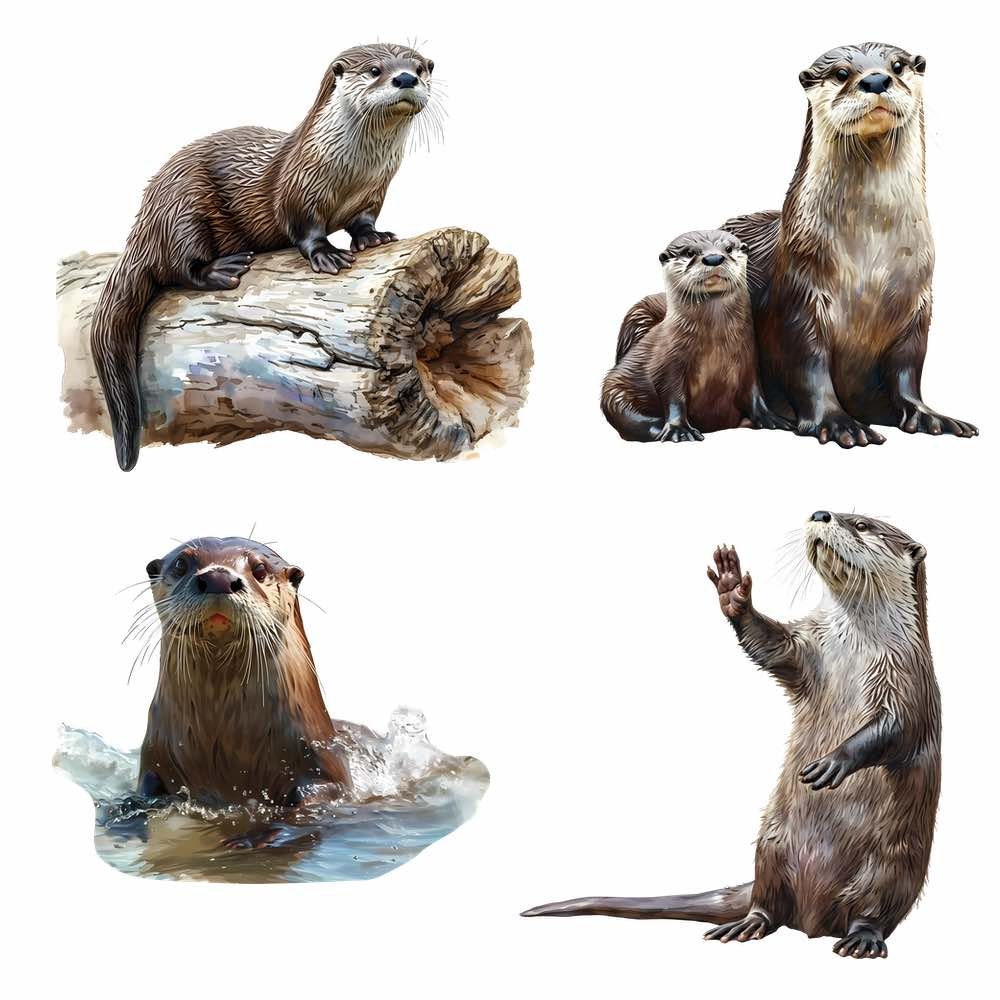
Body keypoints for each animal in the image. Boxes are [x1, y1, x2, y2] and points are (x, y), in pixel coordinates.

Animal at [91, 42, 436, 471]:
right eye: (375, 70)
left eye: (421, 68)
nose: (405, 79)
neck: (352, 174)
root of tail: (145, 219)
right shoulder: (299, 188)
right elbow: (304, 229)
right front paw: (326, 254)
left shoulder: (375, 192)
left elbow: (364, 221)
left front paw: (373, 237)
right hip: (183, 212)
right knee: (179, 268)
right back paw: (223, 268)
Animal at [523, 512, 941, 960]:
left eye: (861, 525)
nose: (820, 513)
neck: (854, 646)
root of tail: (814, 919)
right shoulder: (808, 646)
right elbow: (773, 648)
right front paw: (732, 589)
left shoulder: (909, 678)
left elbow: (896, 729)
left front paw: (834, 761)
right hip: (771, 845)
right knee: (769, 904)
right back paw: (749, 923)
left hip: (892, 865)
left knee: (875, 907)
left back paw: (862, 938)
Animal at [601, 230, 791, 442]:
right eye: (689, 252)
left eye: (728, 248)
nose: (714, 258)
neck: (716, 345)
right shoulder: (670, 363)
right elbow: (674, 397)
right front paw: (679, 428)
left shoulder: (748, 359)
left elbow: (754, 393)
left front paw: (770, 418)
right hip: (615, 391)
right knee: (627, 415)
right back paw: (658, 428)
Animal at [622, 43, 978, 448]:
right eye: (841, 73)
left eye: (898, 65)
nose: (875, 79)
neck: (870, 261)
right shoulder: (800, 296)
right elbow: (808, 367)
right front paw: (838, 422)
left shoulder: (917, 306)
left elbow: (908, 370)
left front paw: (929, 415)